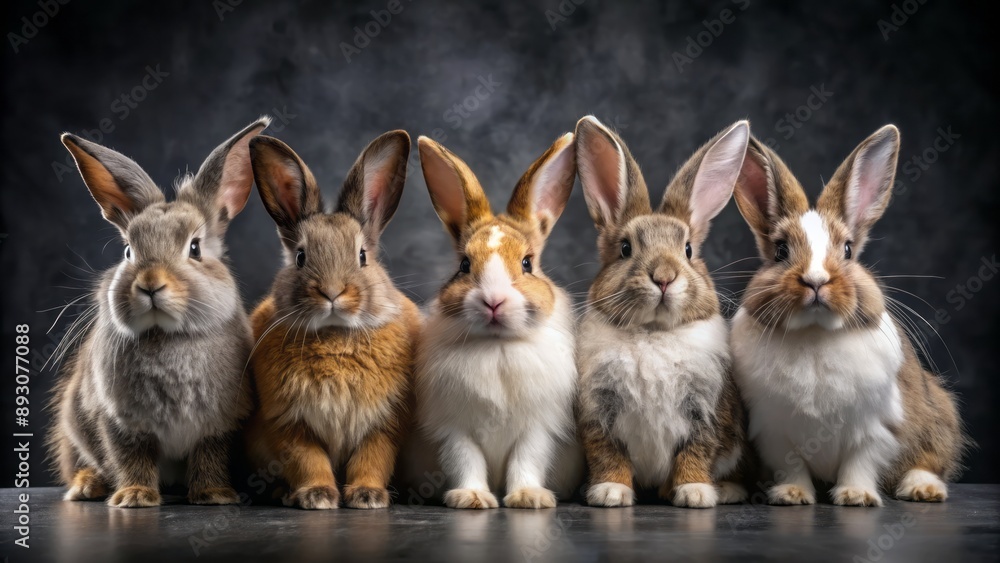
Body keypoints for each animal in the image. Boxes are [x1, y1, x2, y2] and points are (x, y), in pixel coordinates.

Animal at [47, 117, 270, 507]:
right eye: (128, 251)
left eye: (195, 248)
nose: (150, 284)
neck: (168, 336)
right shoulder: (118, 421)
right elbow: (130, 457)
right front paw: (134, 497)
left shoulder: (220, 424)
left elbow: (210, 455)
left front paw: (214, 495)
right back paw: (88, 486)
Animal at [244, 130, 419, 510]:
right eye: (300, 257)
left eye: (363, 256)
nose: (332, 292)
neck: (335, 335)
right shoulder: (288, 423)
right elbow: (308, 460)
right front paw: (318, 496)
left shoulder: (384, 423)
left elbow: (372, 459)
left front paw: (367, 496)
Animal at [414, 132, 581, 509]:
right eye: (464, 265)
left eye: (527, 263)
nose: (493, 300)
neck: (497, 346)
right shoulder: (455, 428)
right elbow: (466, 460)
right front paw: (472, 498)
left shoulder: (537, 427)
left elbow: (527, 459)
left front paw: (528, 498)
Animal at [574, 116, 752, 508]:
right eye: (625, 248)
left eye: (688, 249)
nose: (664, 277)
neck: (653, 332)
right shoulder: (598, 413)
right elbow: (608, 454)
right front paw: (610, 493)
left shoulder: (705, 412)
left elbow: (696, 452)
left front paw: (694, 493)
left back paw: (729, 491)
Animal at [729, 125, 966, 506]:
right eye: (780, 250)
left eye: (848, 250)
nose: (816, 280)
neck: (816, 332)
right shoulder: (774, 432)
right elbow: (791, 465)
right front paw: (792, 495)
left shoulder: (876, 426)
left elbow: (861, 461)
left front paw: (856, 496)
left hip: (939, 418)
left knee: (928, 462)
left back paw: (923, 490)